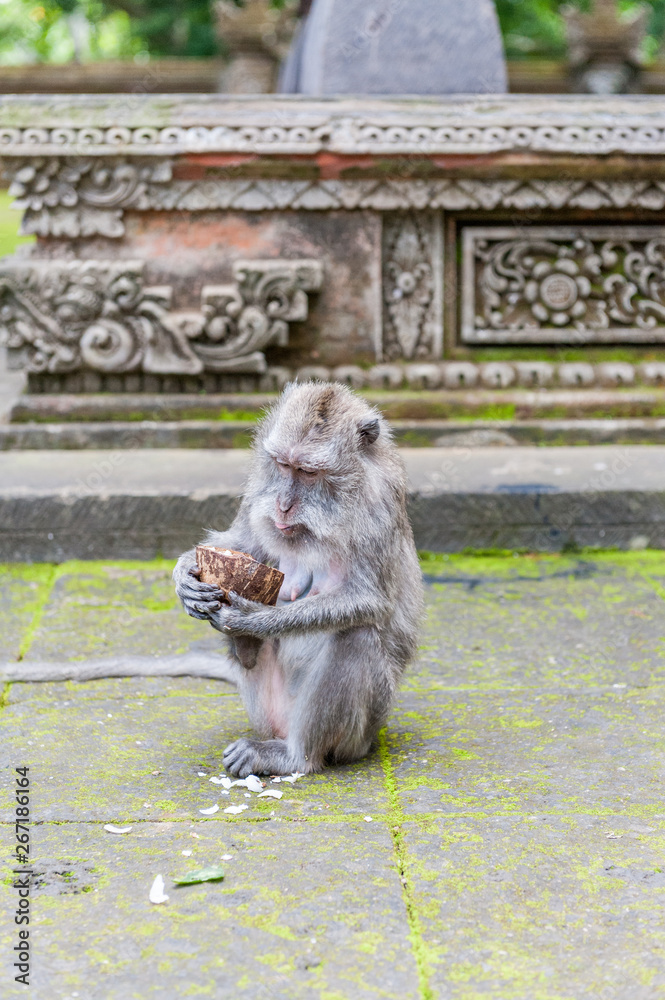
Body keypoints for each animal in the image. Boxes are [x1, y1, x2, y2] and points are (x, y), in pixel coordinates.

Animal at [173, 380, 424, 777]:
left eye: (307, 471)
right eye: (282, 464)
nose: (283, 505)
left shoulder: (379, 503)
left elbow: (369, 599)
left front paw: (252, 618)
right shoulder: (259, 485)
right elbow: (241, 541)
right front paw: (184, 578)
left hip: (361, 732)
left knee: (357, 636)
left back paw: (294, 756)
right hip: (266, 709)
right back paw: (244, 647)